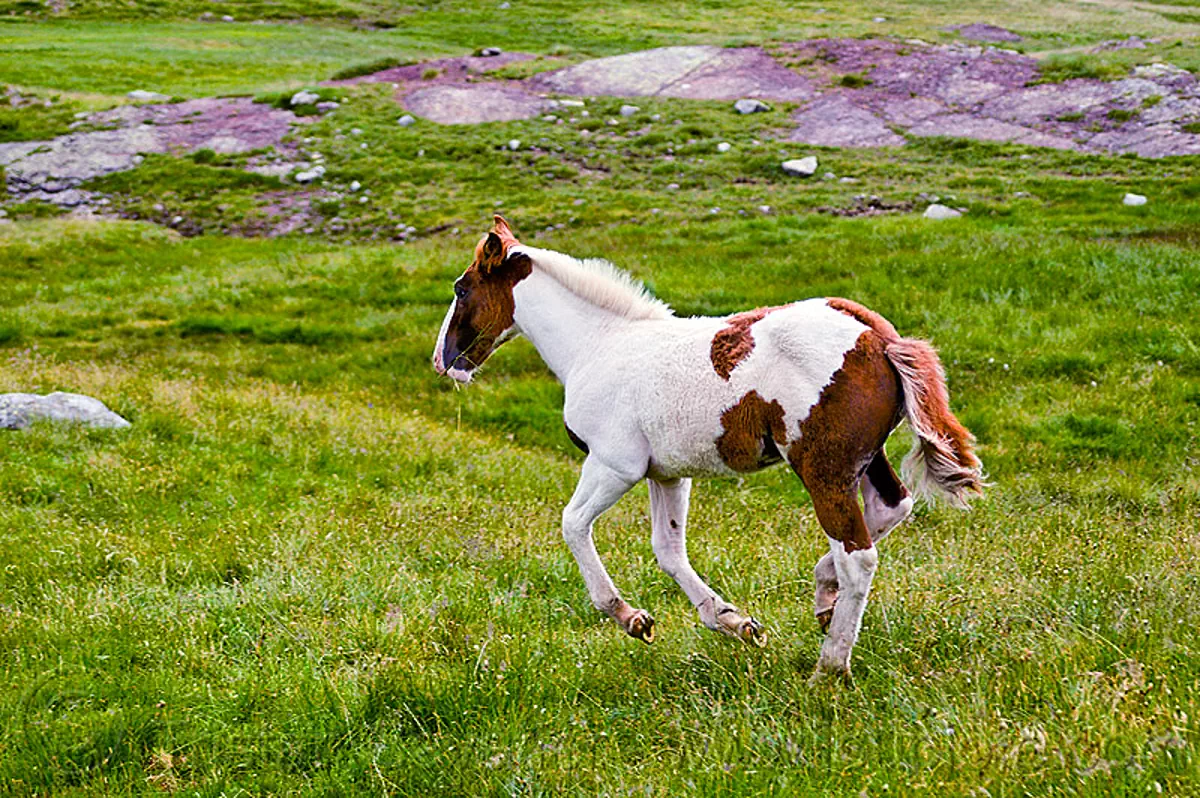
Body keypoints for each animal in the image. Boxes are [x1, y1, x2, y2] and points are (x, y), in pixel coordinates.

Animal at [432, 215, 983, 680]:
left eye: (462, 288)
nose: (444, 361)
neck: (600, 343)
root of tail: (880, 339)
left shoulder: (614, 465)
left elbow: (573, 525)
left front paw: (629, 616)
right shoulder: (667, 474)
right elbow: (668, 550)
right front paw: (734, 622)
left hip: (822, 469)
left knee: (859, 556)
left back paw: (828, 668)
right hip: (862, 462)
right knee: (892, 509)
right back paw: (824, 600)